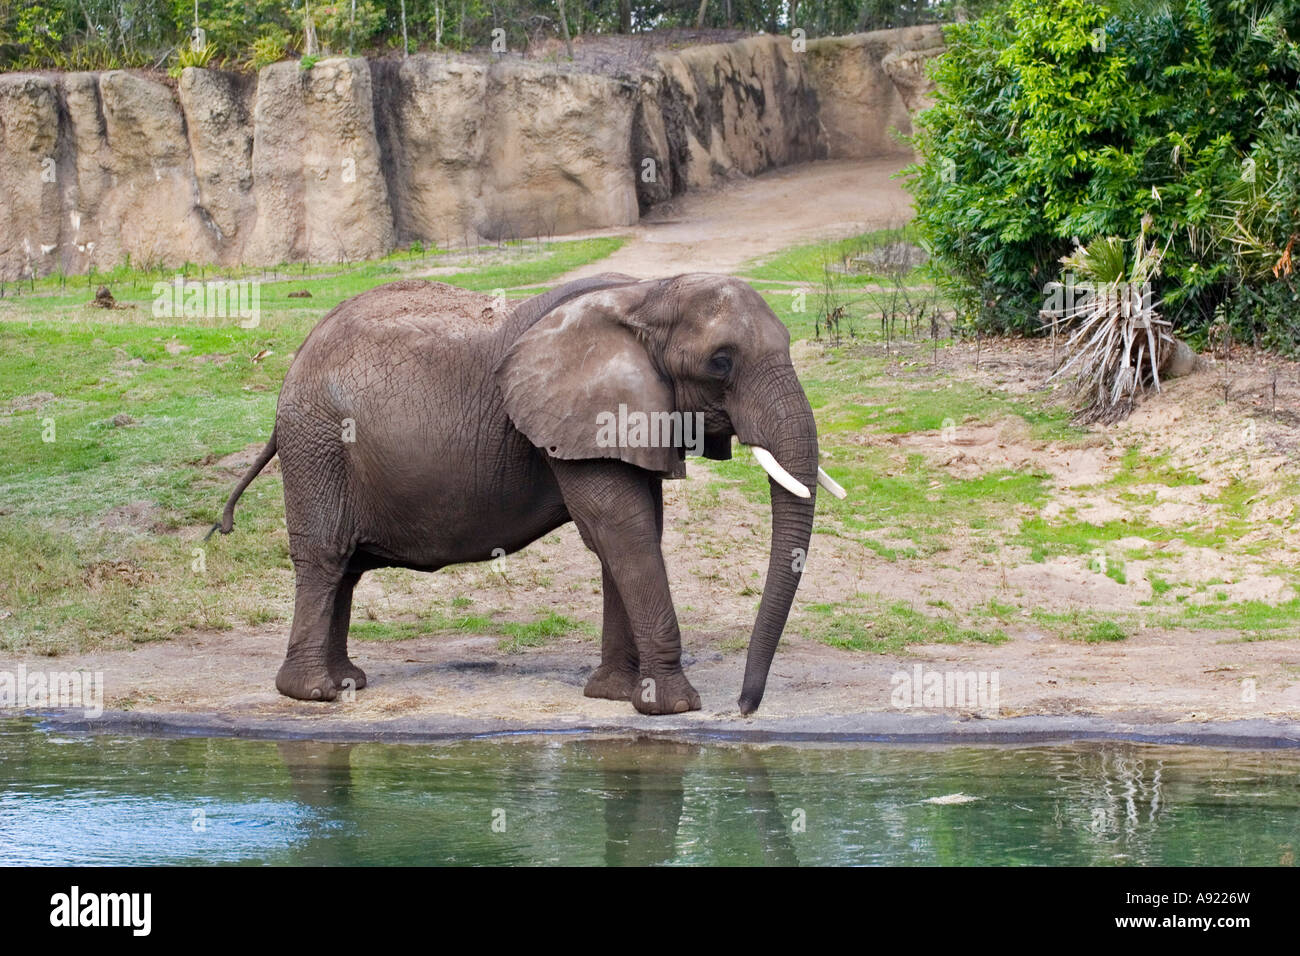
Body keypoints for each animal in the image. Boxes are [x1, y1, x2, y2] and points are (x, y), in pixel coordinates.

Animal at [211, 273, 845, 715]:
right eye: (721, 362)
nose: (743, 708)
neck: (647, 294)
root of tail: (294, 365)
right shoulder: (577, 415)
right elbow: (621, 528)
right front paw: (673, 707)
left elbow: (630, 531)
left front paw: (615, 695)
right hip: (317, 442)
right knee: (325, 558)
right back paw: (314, 694)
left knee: (346, 567)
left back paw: (348, 682)